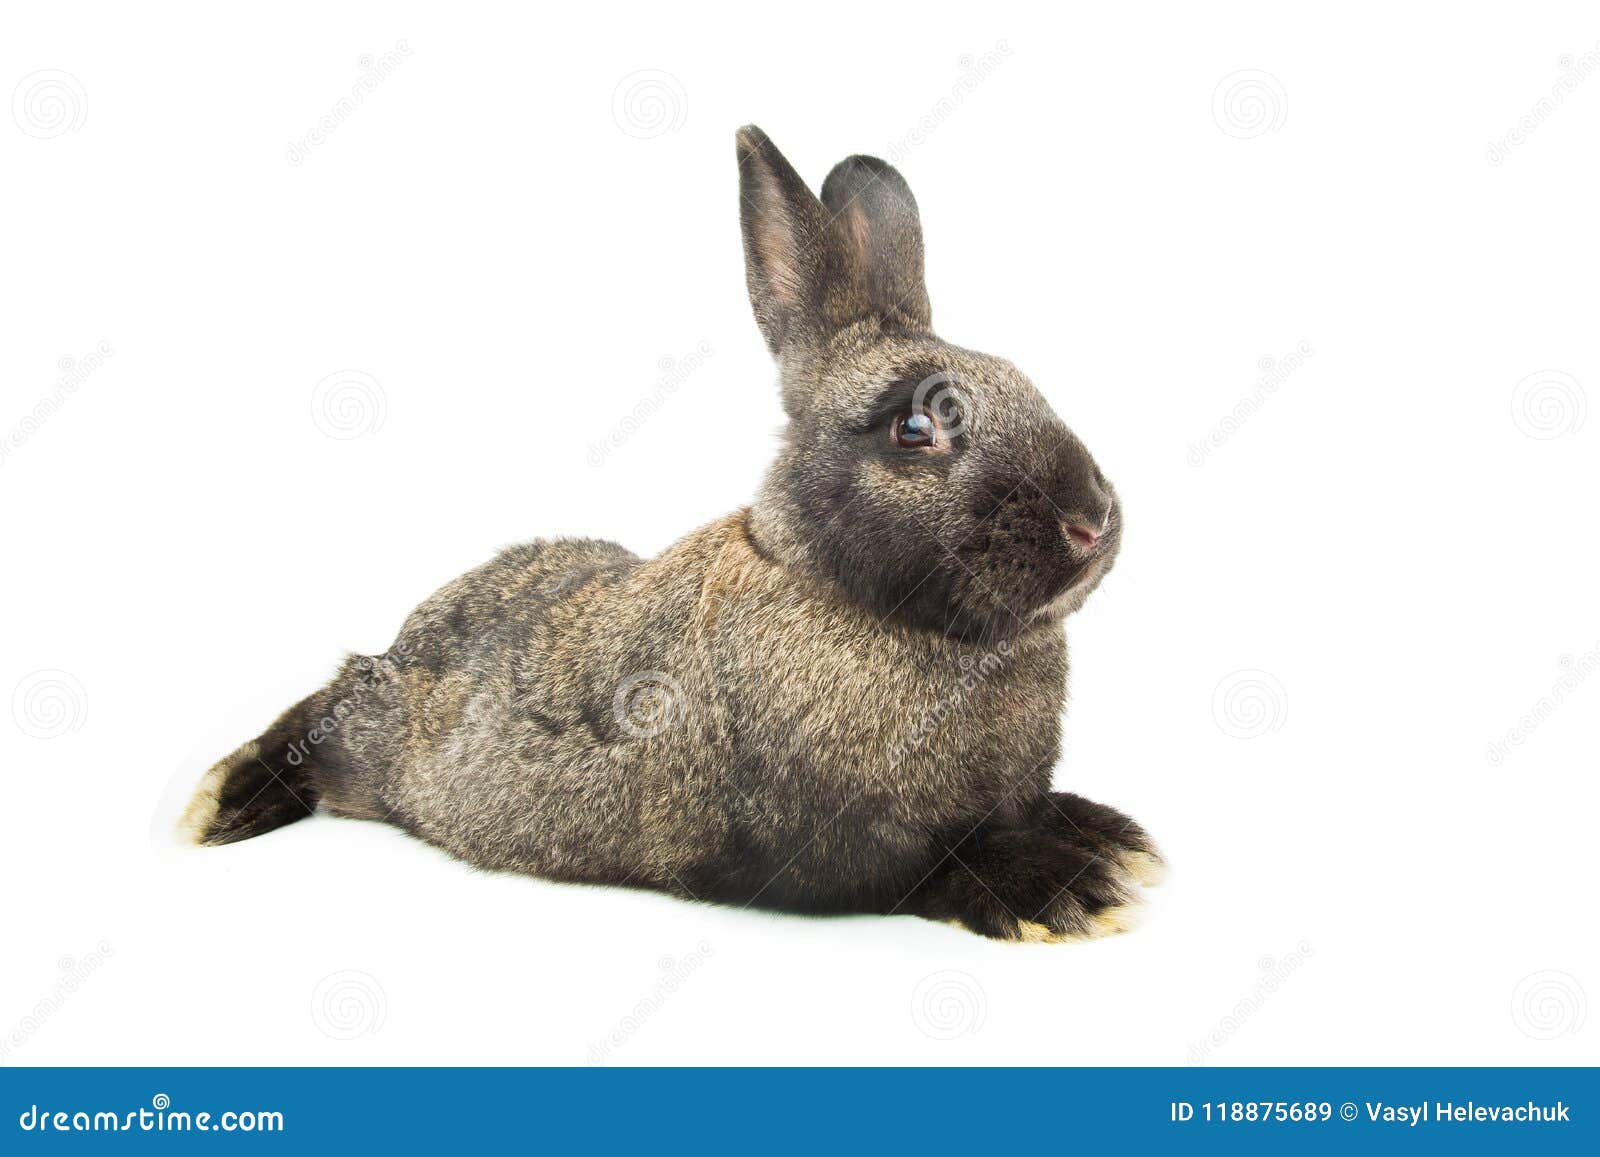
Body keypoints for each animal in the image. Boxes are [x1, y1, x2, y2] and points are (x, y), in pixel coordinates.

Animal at [179, 125, 1165, 942]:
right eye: (917, 426)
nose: (1093, 521)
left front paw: (1110, 838)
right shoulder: (829, 849)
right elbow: (932, 864)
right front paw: (1069, 887)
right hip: (380, 735)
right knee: (326, 711)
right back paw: (224, 803)